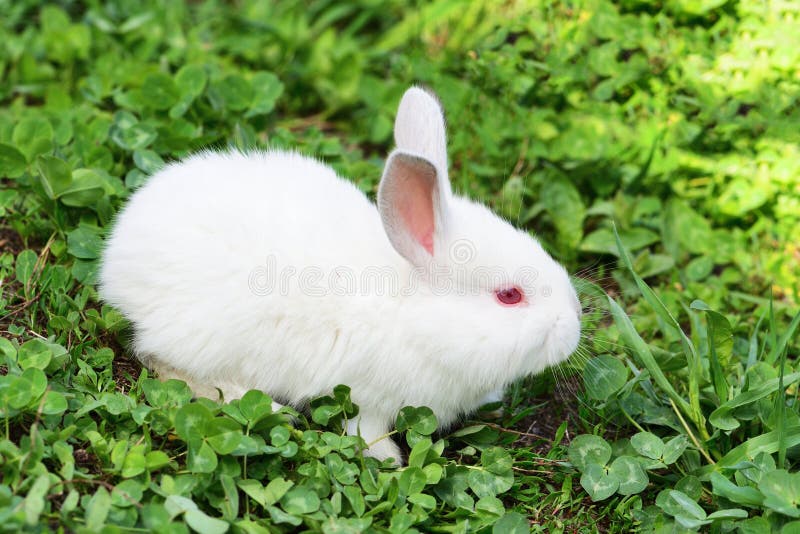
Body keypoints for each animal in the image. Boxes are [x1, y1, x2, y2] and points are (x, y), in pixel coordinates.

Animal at [99, 86, 582, 464]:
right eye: (509, 296)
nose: (575, 324)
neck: (415, 315)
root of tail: (119, 257)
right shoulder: (364, 396)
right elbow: (366, 430)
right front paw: (388, 461)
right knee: (162, 362)